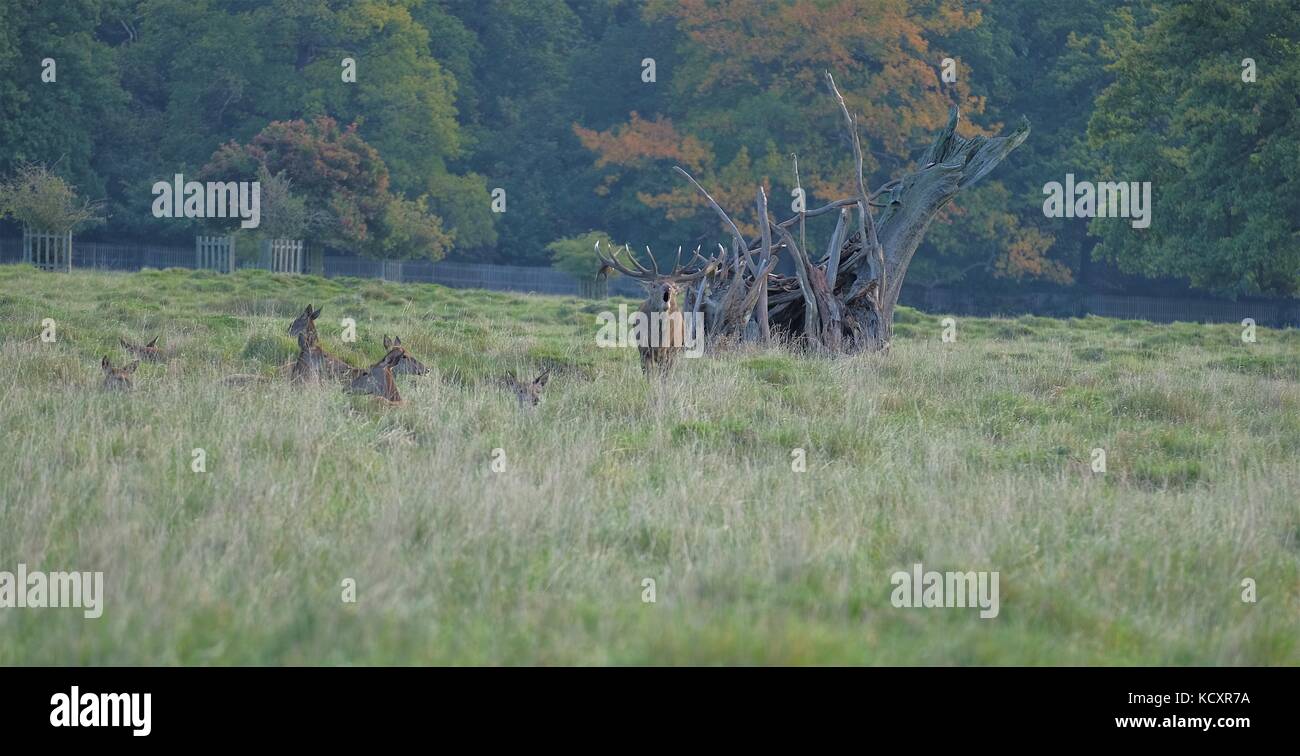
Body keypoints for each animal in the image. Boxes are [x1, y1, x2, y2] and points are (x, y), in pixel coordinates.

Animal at [596, 241, 717, 374]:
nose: (667, 288)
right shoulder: (644, 349)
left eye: (675, 286)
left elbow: (666, 374)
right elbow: (648, 373)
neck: (660, 341)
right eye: (654, 285)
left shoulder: (672, 351)